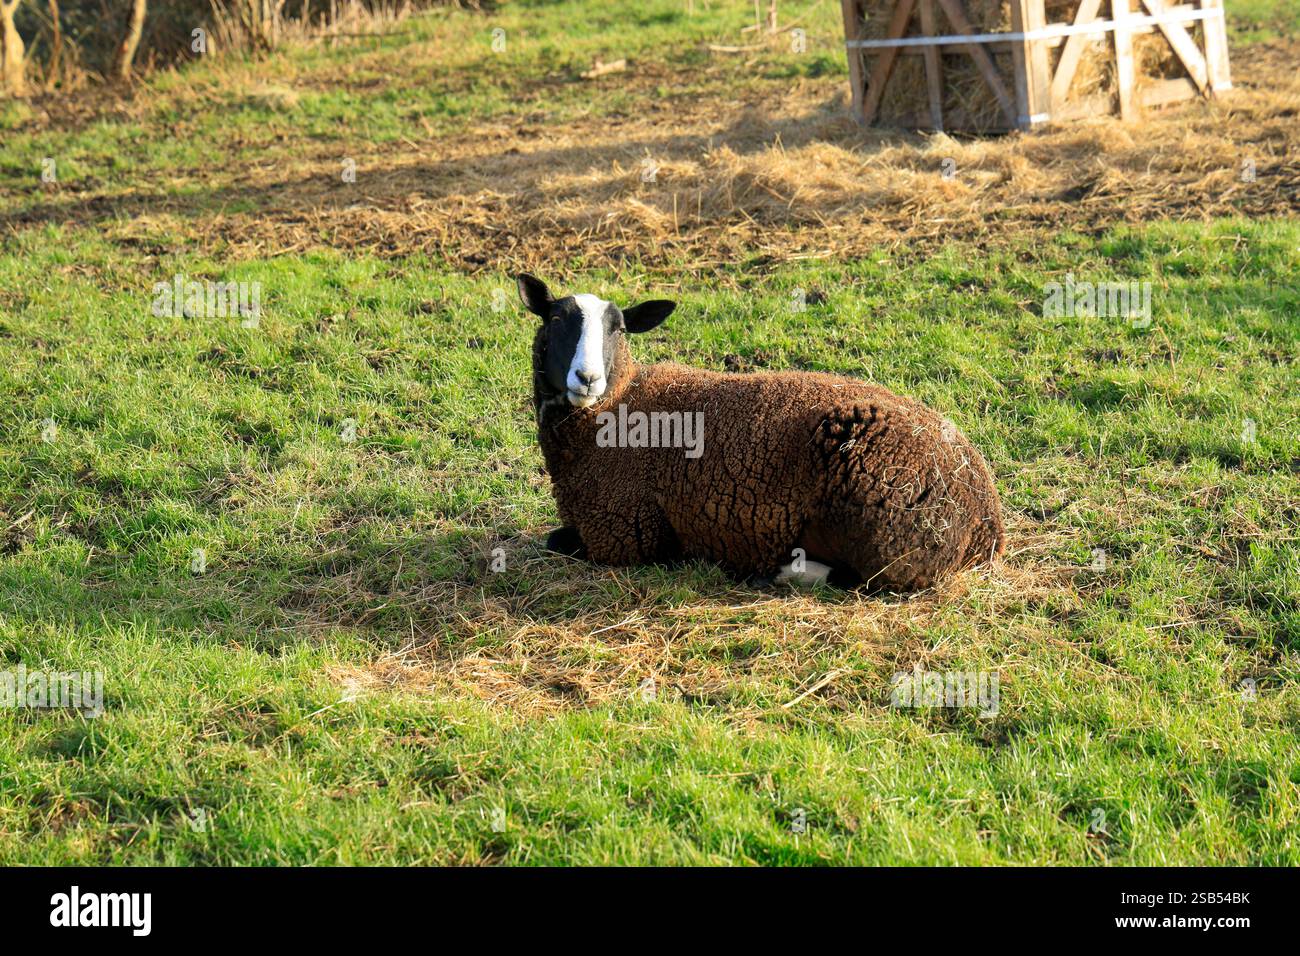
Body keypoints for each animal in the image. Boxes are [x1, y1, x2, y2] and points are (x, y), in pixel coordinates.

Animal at [518, 274, 1005, 591]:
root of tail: (987, 523)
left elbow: (556, 542)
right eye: (555, 320)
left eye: (618, 328)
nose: (586, 378)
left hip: (889, 531)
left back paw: (773, 570)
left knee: (868, 579)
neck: (615, 407)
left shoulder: (621, 535)